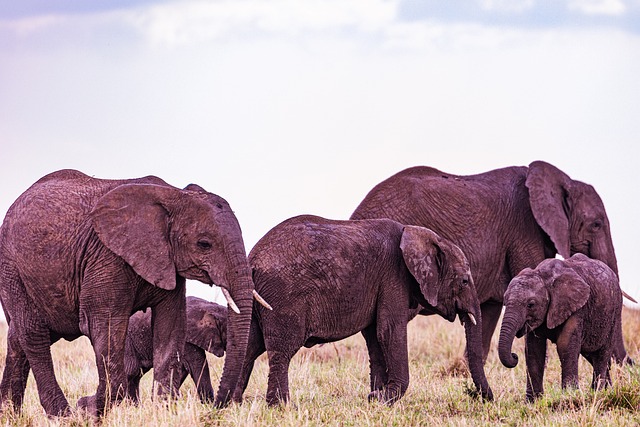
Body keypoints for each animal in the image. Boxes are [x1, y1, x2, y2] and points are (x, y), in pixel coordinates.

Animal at [0, 169, 267, 416]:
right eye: (204, 244)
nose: (219, 406)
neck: (174, 194)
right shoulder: (106, 256)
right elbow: (104, 325)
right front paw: (90, 409)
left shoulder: (167, 262)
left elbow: (170, 326)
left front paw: (163, 411)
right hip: (13, 270)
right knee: (34, 335)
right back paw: (63, 415)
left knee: (17, 339)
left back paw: (10, 414)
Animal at [233, 215, 492, 406]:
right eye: (464, 281)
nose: (485, 398)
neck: (422, 235)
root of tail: (252, 258)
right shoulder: (393, 277)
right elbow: (389, 330)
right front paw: (384, 398)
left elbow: (375, 336)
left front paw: (375, 398)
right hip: (283, 297)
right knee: (282, 350)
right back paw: (282, 406)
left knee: (250, 345)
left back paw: (233, 403)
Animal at [498, 254, 622, 401]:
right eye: (504, 301)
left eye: (531, 304)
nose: (514, 355)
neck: (542, 276)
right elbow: (534, 350)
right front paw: (533, 402)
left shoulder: (577, 308)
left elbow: (565, 344)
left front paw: (569, 395)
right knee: (591, 355)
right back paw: (608, 390)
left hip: (614, 314)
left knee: (602, 354)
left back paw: (596, 392)